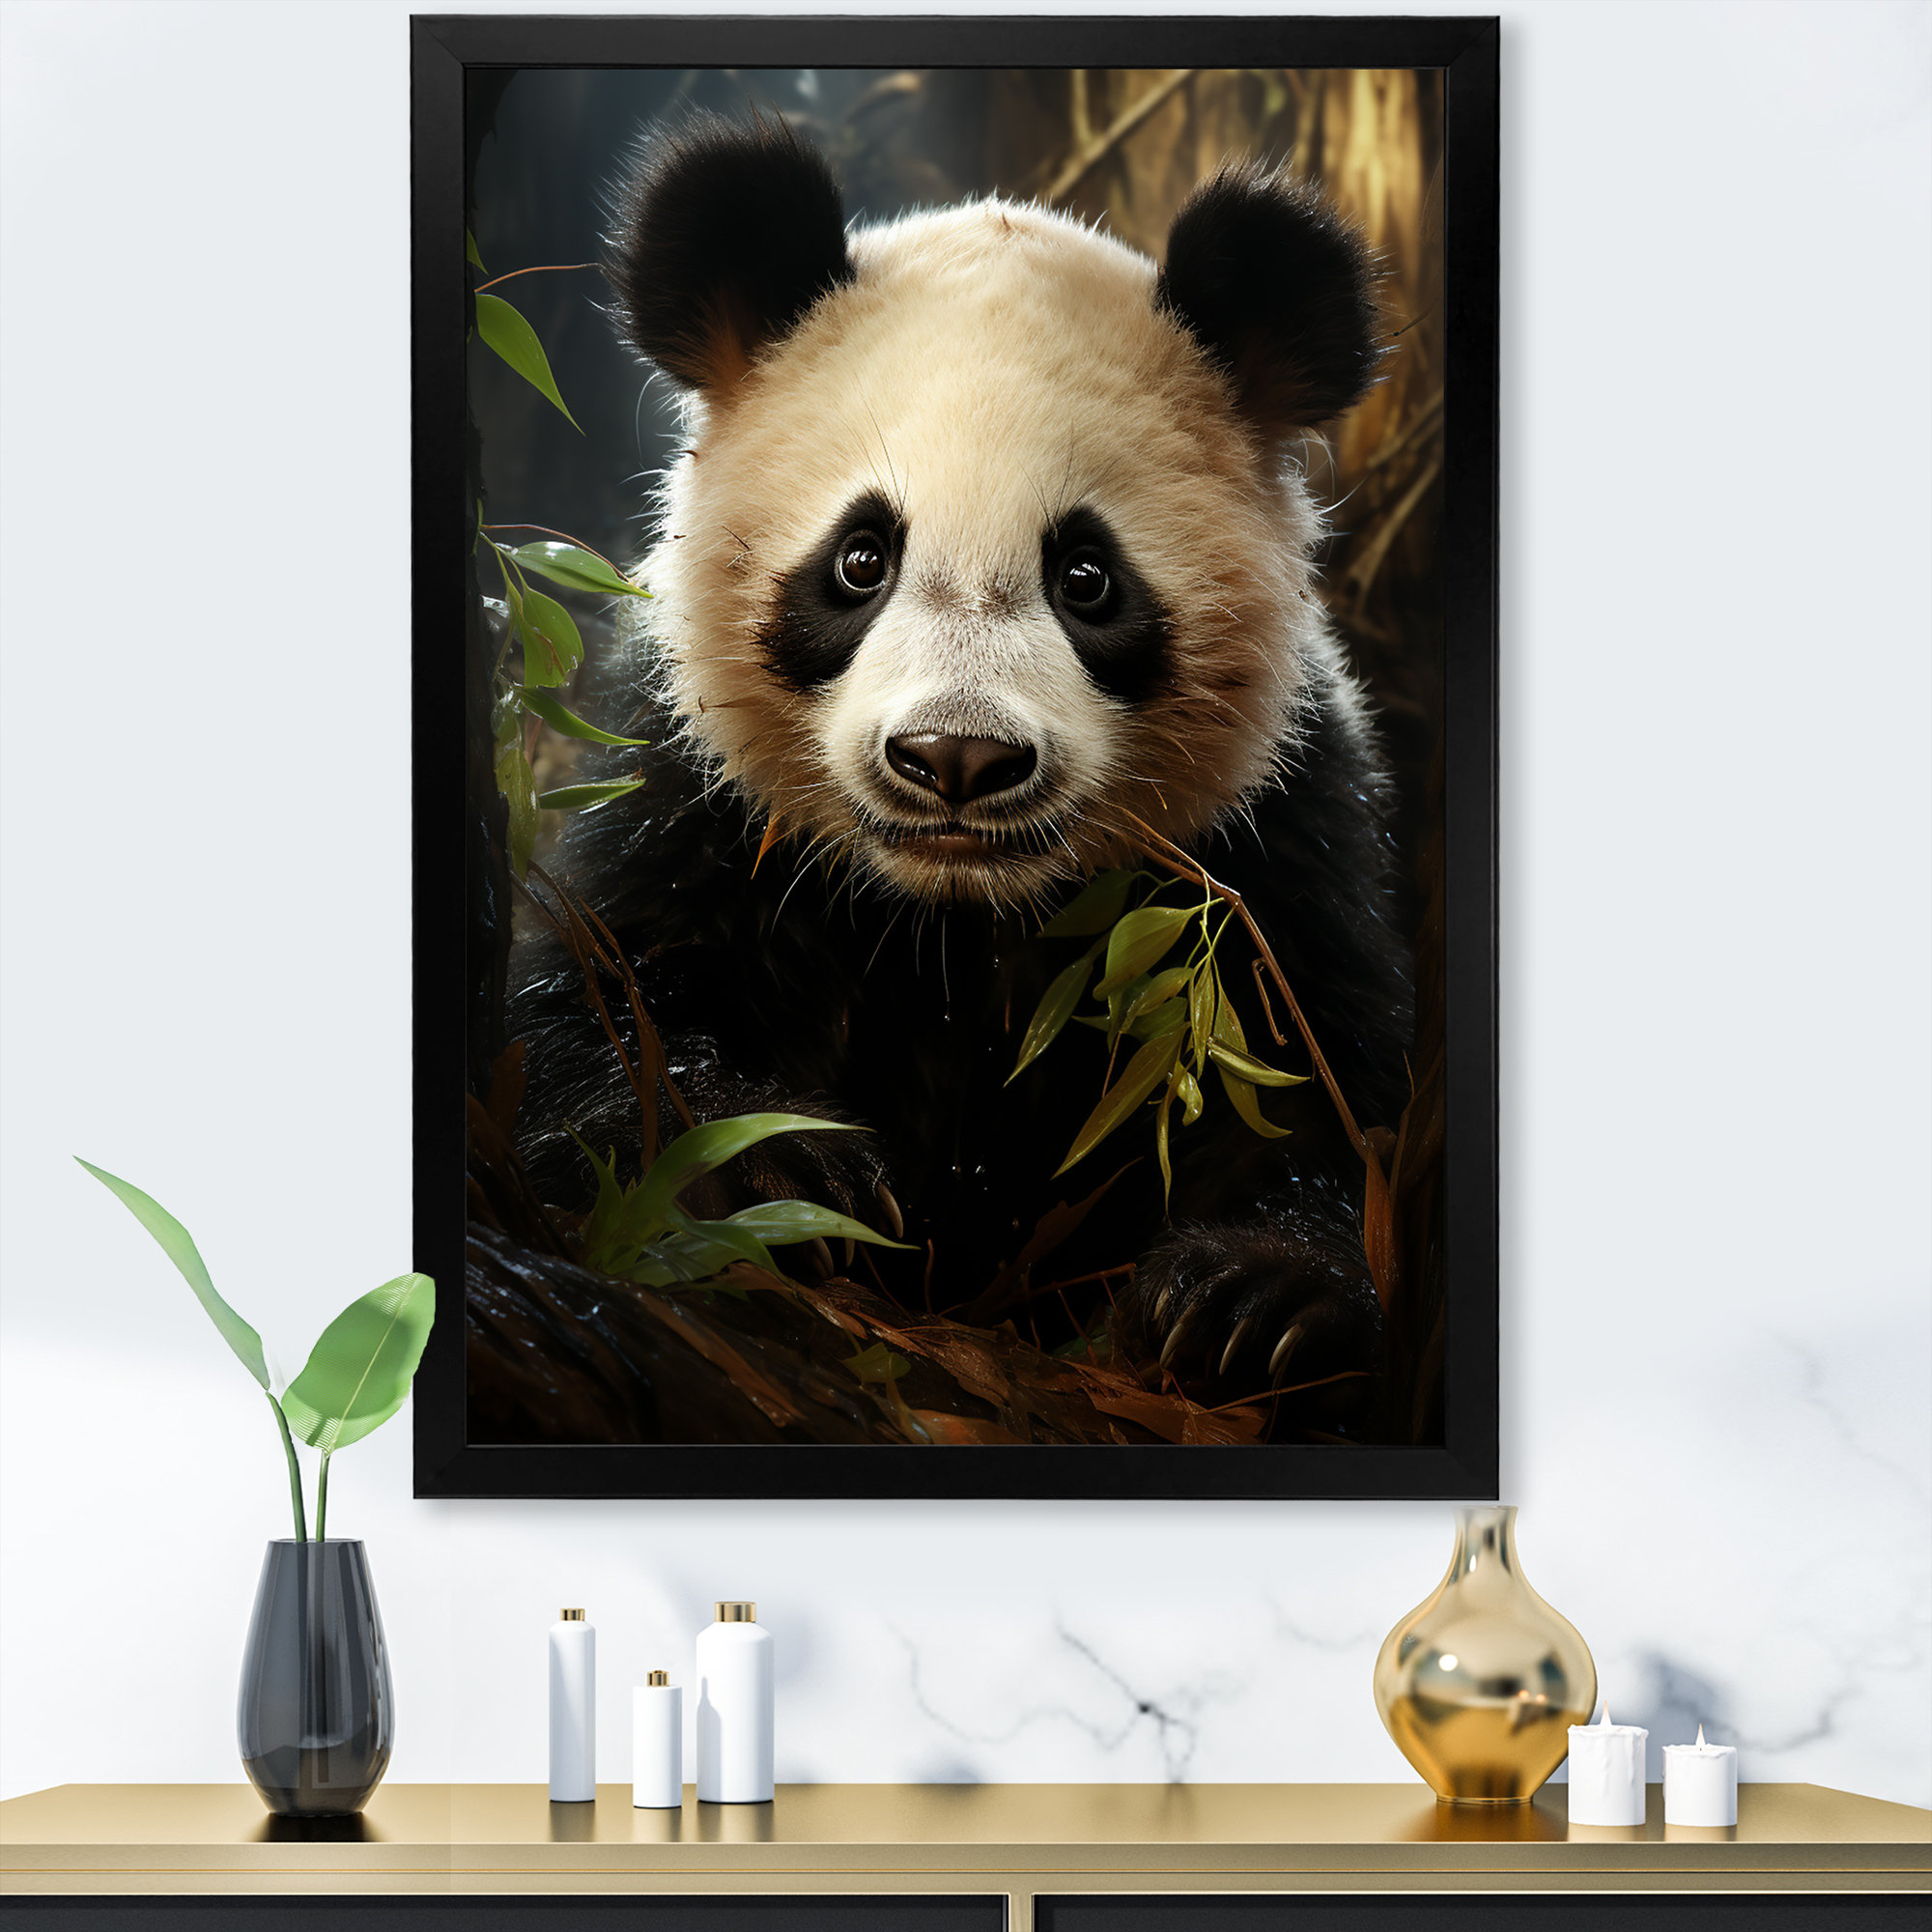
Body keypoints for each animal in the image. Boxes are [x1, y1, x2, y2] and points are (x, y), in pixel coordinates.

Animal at [505, 116, 1414, 1431]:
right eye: (859, 559)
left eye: (1085, 576)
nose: (955, 758)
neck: (952, 914)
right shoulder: (691, 793)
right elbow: (595, 1010)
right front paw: (777, 1165)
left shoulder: (1270, 831)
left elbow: (1309, 1085)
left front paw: (1252, 1303)